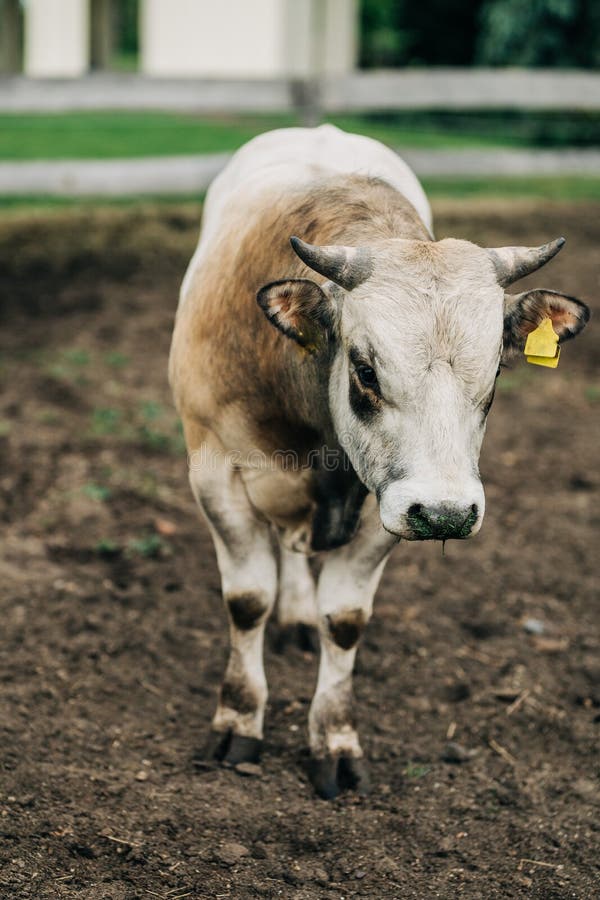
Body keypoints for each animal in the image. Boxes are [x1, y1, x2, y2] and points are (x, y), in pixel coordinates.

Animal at [169, 124, 590, 799]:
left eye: (497, 371)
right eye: (365, 370)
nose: (447, 514)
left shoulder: (391, 502)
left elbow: (344, 620)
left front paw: (335, 741)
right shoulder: (214, 473)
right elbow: (248, 601)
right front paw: (238, 722)